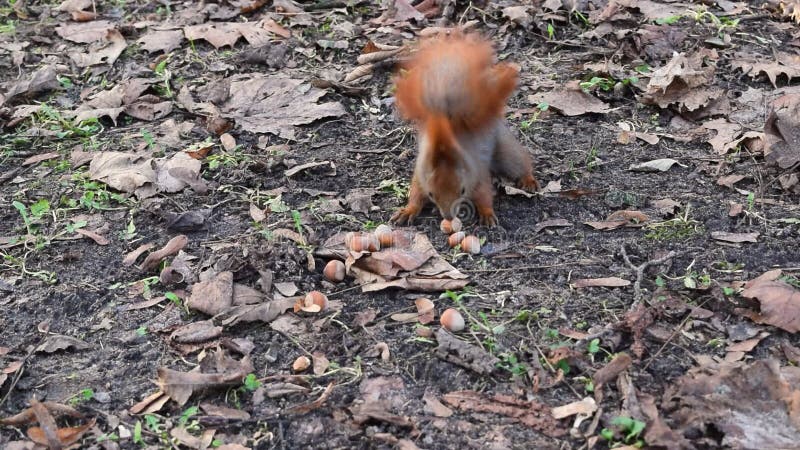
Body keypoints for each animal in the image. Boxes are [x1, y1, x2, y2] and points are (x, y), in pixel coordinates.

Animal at [390, 32, 539, 228]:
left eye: (462, 190)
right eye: (431, 194)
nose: (448, 217)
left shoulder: (478, 174)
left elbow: (484, 196)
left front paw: (487, 214)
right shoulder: (420, 176)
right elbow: (415, 195)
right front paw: (407, 211)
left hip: (506, 151)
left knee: (520, 164)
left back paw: (529, 180)